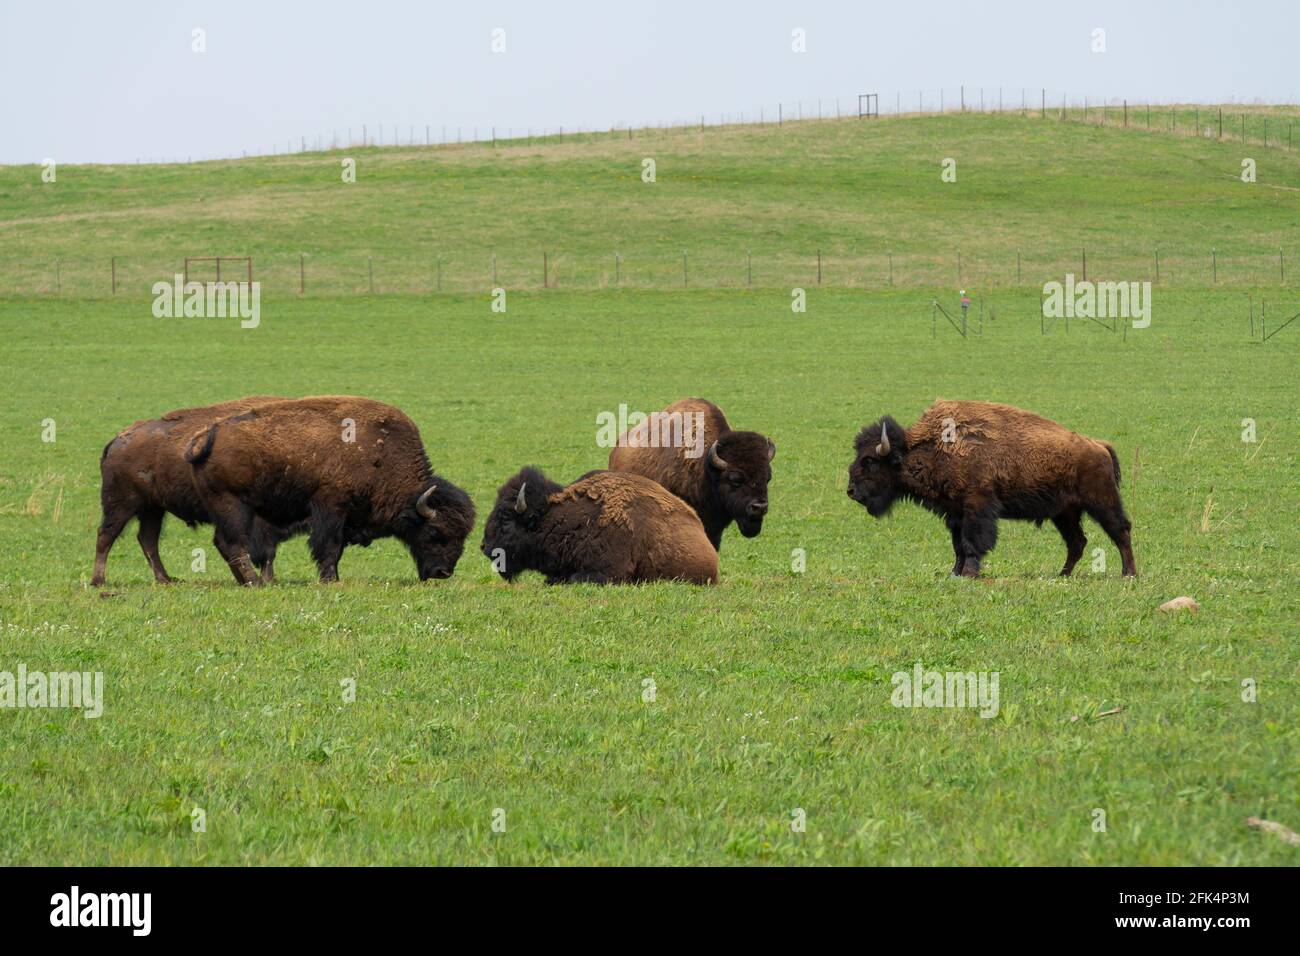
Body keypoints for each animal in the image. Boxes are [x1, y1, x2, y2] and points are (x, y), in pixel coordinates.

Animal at [93, 397, 305, 586]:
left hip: (153, 509)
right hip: (121, 504)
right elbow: (263, 550)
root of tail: (118, 439)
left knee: (147, 538)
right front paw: (264, 580)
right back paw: (99, 581)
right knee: (106, 535)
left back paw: (166, 579)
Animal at [184, 396, 474, 584]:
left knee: (224, 543)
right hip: (233, 505)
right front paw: (330, 580)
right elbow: (329, 547)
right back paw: (254, 582)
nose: (443, 573)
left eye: (463, 536)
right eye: (435, 531)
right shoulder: (331, 509)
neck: (382, 454)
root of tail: (208, 435)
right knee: (233, 543)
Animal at [847, 400, 1137, 578]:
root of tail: (1099, 446)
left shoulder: (977, 507)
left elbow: (972, 542)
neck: (932, 448)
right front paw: (955, 572)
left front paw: (969, 573)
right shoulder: (955, 513)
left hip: (1101, 501)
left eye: (870, 461)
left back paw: (1129, 574)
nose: (850, 491)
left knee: (1120, 530)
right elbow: (958, 545)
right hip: (1065, 513)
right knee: (1077, 541)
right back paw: (1062, 574)